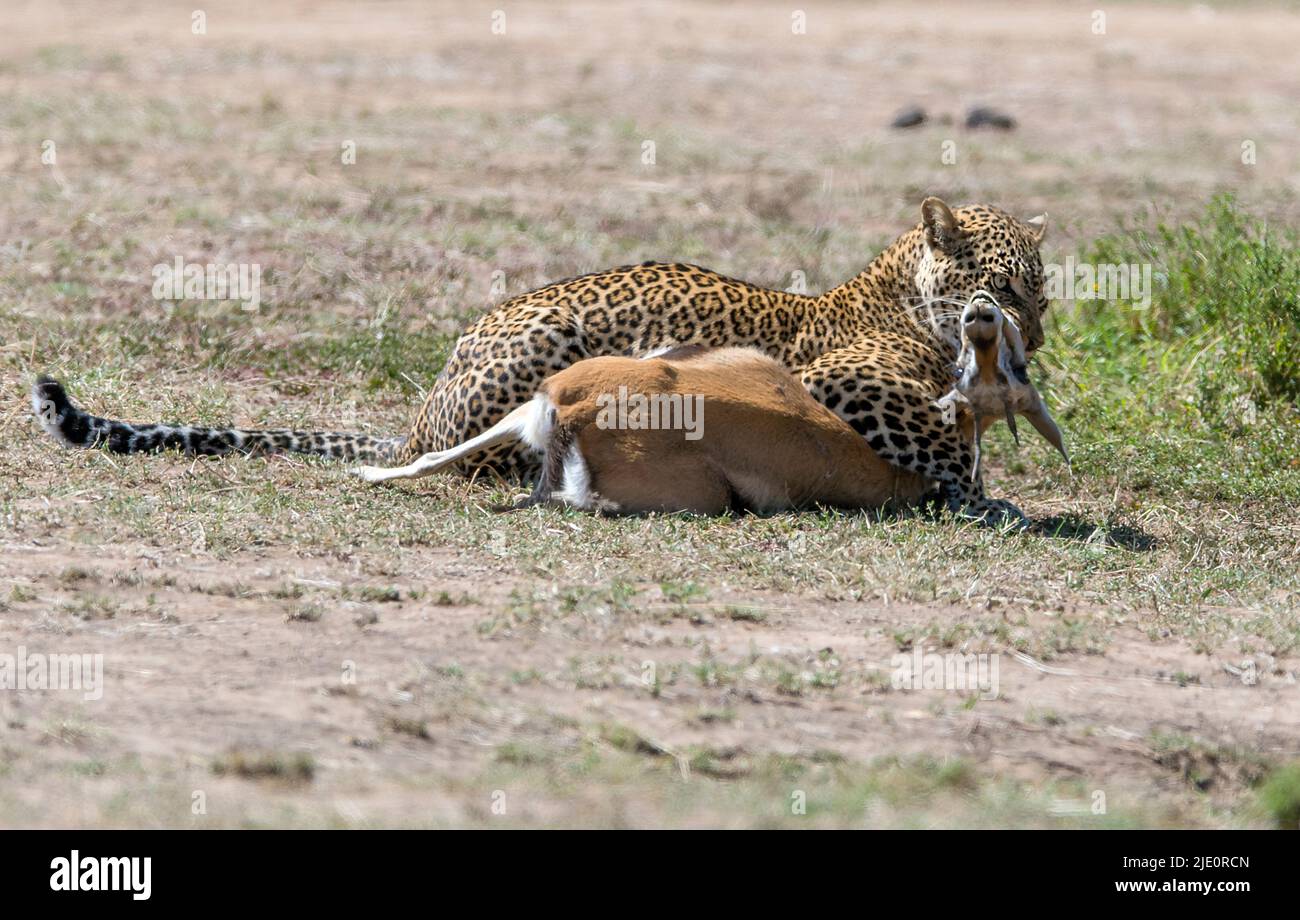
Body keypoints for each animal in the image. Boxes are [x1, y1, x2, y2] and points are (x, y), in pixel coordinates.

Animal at [31, 197, 1050, 521]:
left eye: (1046, 291)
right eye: (1005, 285)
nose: (1032, 338)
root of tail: (417, 416)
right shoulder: (847, 383)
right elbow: (938, 443)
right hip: (546, 339)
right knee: (475, 461)